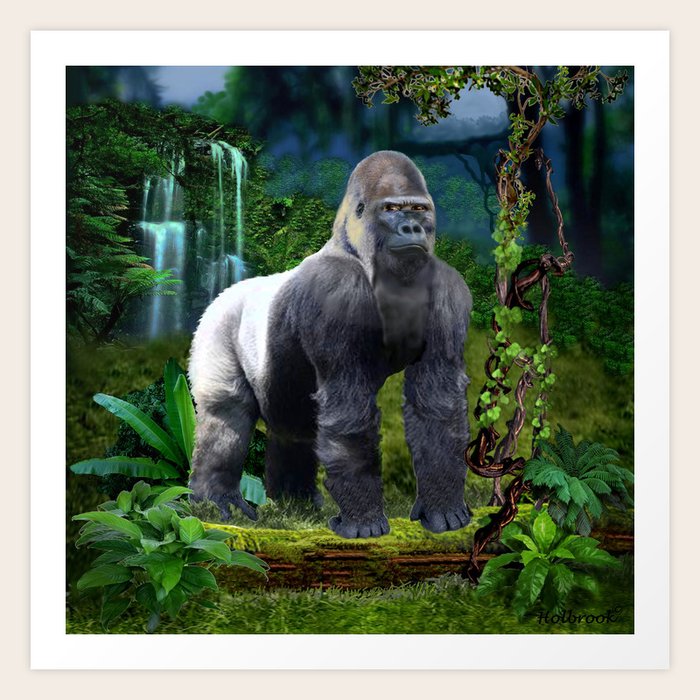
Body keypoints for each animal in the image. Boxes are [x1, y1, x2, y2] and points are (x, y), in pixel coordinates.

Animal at [188, 150, 472, 538]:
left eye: (419, 209)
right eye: (391, 209)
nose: (412, 229)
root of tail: (224, 293)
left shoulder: (447, 289)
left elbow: (436, 402)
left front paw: (443, 505)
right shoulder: (337, 291)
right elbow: (348, 406)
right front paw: (364, 519)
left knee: (294, 428)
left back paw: (296, 501)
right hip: (216, 324)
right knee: (227, 413)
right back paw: (213, 500)